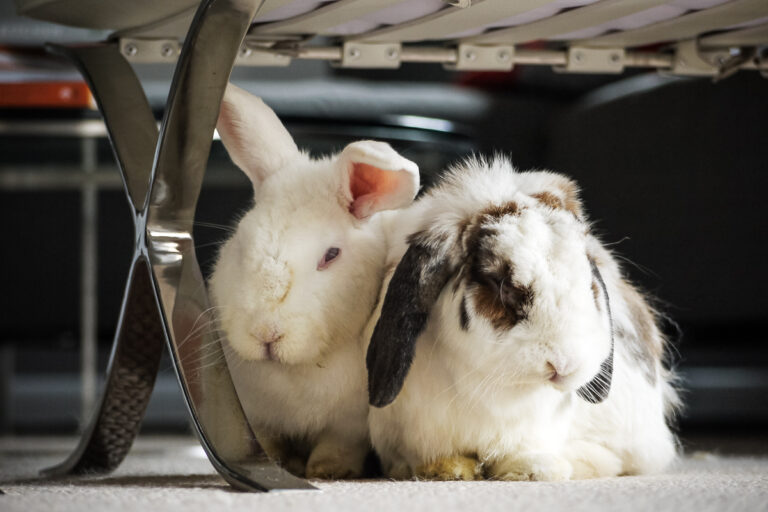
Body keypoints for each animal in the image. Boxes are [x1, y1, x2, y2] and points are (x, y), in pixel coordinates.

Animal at [206, 83, 420, 479]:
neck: (296, 372)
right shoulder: (257, 417)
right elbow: (269, 445)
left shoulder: (349, 426)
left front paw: (327, 472)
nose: (265, 334)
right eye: (242, 242)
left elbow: (337, 449)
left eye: (331, 255)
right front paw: (276, 465)